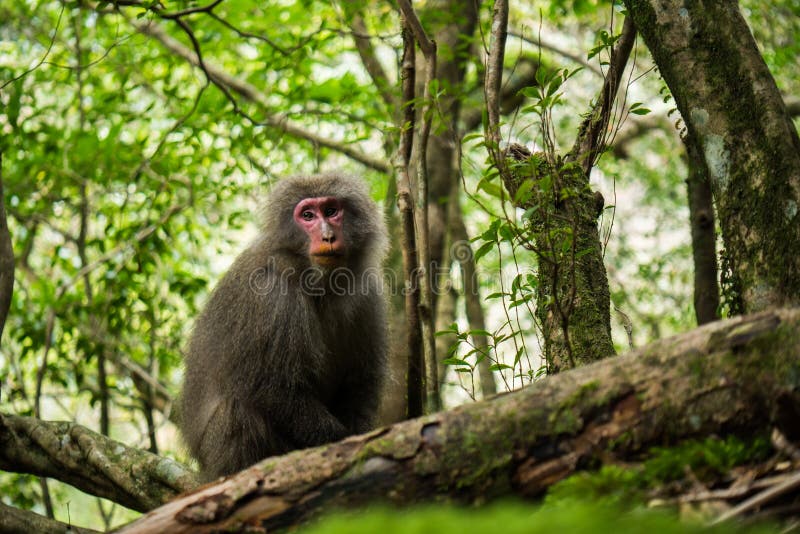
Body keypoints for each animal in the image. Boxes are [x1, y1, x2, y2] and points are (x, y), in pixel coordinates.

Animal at [179, 172, 389, 480]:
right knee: (237, 412)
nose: (327, 236)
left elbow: (359, 383)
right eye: (307, 215)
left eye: (331, 211)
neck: (317, 281)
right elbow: (277, 390)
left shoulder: (369, 295)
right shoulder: (272, 298)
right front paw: (338, 443)